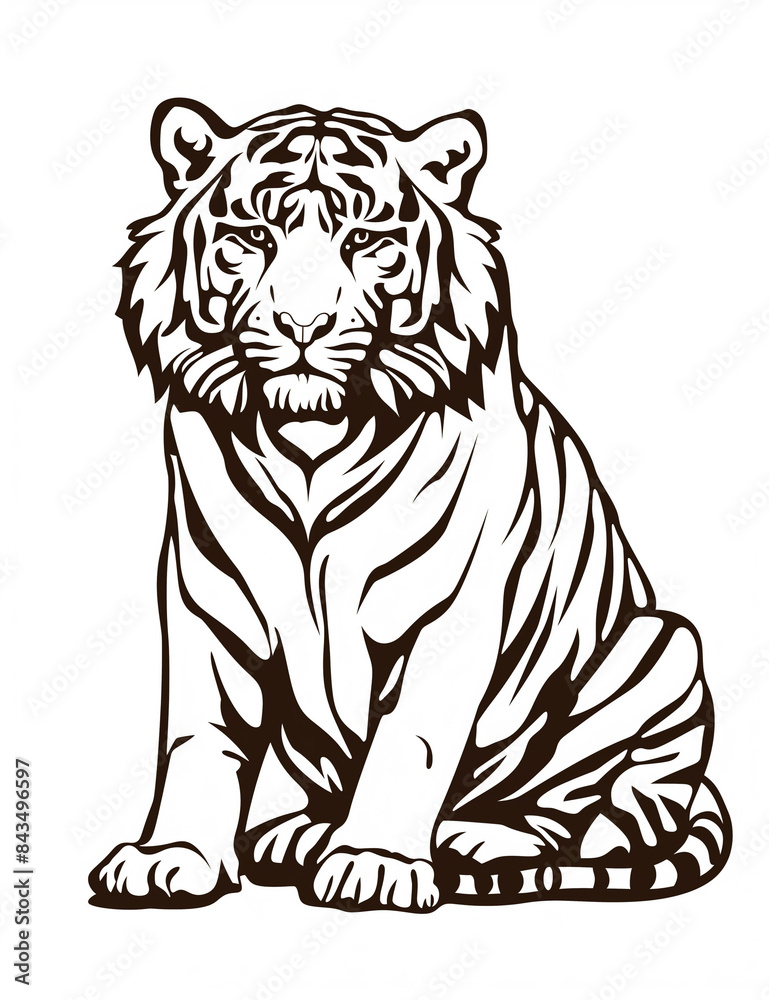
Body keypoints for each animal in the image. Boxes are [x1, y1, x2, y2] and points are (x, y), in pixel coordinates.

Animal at [89, 99, 731, 913]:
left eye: (364, 240)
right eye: (254, 237)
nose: (304, 328)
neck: (310, 438)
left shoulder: (448, 610)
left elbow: (411, 741)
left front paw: (374, 862)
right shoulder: (209, 603)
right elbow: (195, 735)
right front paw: (170, 856)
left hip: (662, 644)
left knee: (593, 817)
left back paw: (477, 838)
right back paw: (298, 833)